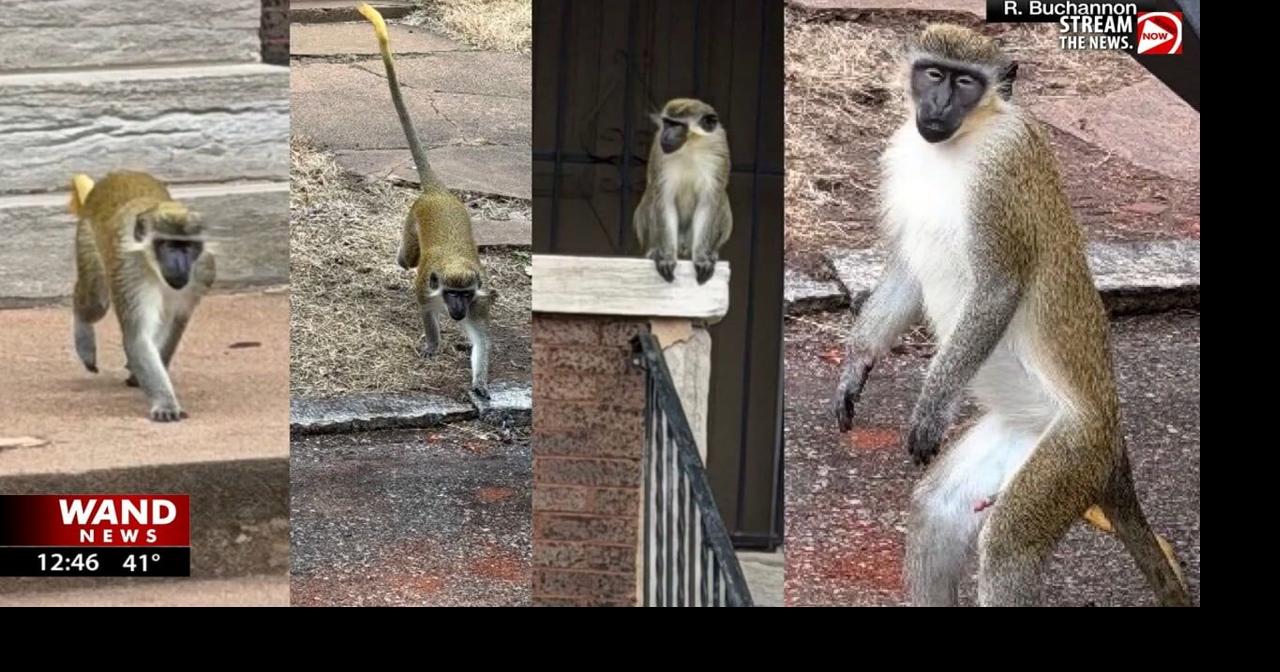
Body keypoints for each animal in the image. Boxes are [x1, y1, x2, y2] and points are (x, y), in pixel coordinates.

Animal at [71, 171, 215, 422]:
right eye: (167, 245)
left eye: (187, 246)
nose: (180, 265)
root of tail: (120, 173)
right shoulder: (129, 271)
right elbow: (138, 337)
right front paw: (165, 403)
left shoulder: (202, 270)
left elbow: (175, 324)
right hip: (86, 236)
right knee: (95, 302)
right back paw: (83, 330)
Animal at [358, 2, 492, 399]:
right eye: (450, 293)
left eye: (464, 294)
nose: (457, 309)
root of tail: (438, 193)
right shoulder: (426, 289)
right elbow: (426, 312)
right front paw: (432, 344)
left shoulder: (479, 300)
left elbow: (481, 338)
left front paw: (479, 382)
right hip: (412, 222)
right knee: (407, 259)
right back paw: (398, 258)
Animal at [633, 98, 732, 285]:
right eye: (666, 123)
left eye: (677, 125)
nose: (665, 135)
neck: (691, 146)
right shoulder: (659, 151)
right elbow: (663, 200)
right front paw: (666, 257)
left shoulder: (718, 149)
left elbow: (709, 202)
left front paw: (702, 257)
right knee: (651, 196)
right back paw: (655, 250)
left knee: (722, 200)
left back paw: (711, 253)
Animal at [830, 24, 1190, 607]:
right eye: (933, 72)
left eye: (965, 82)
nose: (938, 105)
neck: (960, 143)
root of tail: (1113, 443)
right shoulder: (901, 154)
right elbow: (907, 270)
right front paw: (856, 365)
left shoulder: (1003, 170)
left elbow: (997, 289)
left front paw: (931, 407)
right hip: (1020, 438)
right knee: (936, 513)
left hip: (1072, 452)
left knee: (1008, 547)